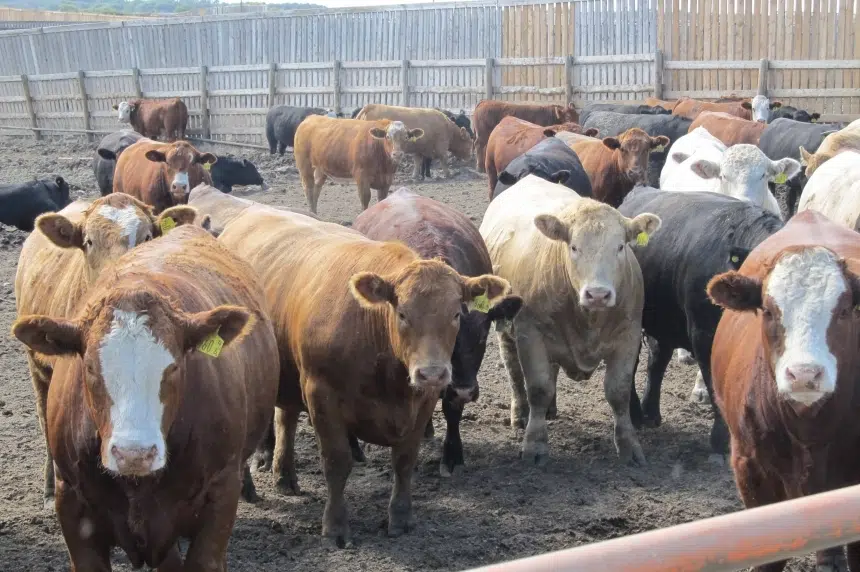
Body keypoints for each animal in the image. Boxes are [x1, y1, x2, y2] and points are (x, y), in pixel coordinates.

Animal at [211, 205, 509, 545]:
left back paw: (284, 475)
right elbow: (336, 462)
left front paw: (401, 517)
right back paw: (248, 486)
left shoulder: (423, 402)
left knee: (285, 417)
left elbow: (405, 460)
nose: (432, 373)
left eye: (456, 313)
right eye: (402, 313)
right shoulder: (320, 395)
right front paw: (335, 526)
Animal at [294, 115, 423, 214]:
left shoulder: (387, 179)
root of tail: (311, 117)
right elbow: (365, 198)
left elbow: (382, 199)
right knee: (309, 188)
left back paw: (314, 213)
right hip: (304, 165)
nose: (397, 154)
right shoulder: (361, 176)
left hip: (321, 168)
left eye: (406, 137)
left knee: (316, 188)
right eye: (387, 137)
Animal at [480, 174, 660, 465]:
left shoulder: (629, 335)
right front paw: (535, 445)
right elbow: (538, 388)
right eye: (574, 247)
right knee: (514, 370)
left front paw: (629, 446)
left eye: (620, 246)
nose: (597, 294)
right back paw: (520, 413)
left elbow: (618, 392)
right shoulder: (530, 334)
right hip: (507, 330)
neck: (588, 319)